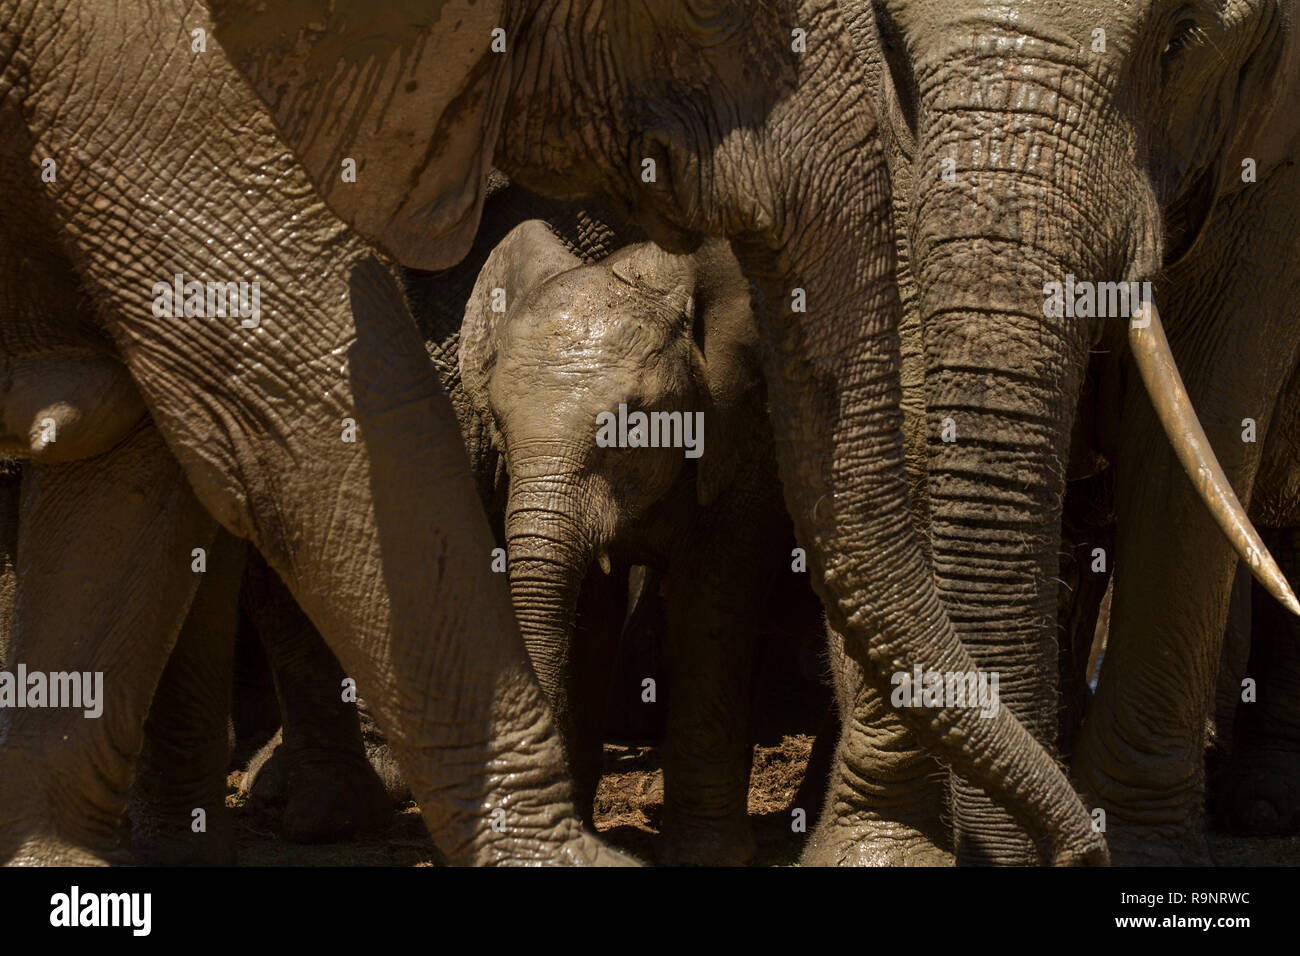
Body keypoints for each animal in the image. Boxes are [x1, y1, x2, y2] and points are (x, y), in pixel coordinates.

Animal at [460, 223, 825, 864]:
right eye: (498, 424)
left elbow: (711, 604)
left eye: (630, 427)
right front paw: (580, 836)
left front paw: (707, 855)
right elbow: (589, 611)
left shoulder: (750, 433)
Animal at [833, 0, 1300, 864]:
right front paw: (883, 847)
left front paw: (1144, 853)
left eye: (1179, 41)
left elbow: (1197, 437)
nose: (1078, 851)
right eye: (886, 36)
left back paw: (1262, 808)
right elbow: (906, 412)